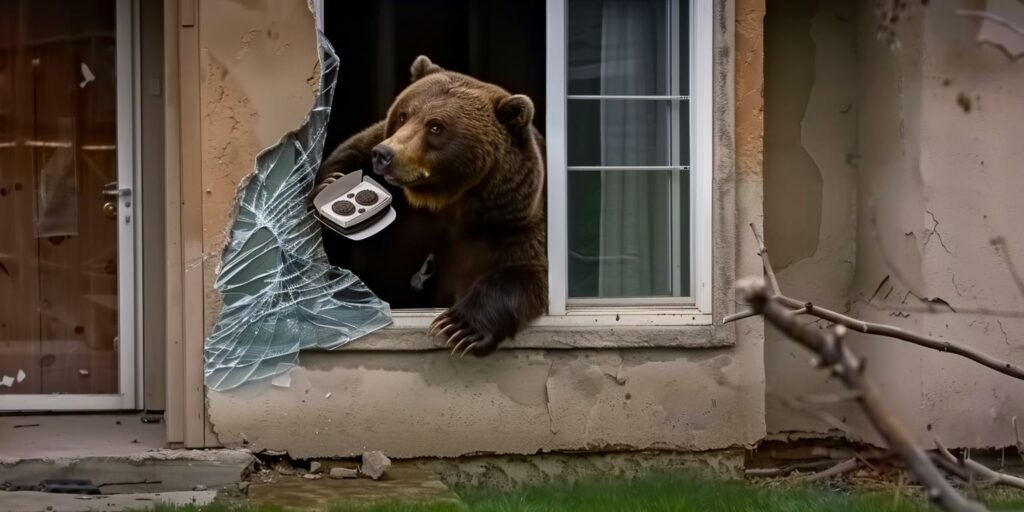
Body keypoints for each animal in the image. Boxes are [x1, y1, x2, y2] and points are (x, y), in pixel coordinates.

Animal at [315, 55, 548, 357]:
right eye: (403, 115)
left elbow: (524, 273)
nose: (384, 154)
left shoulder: (507, 223)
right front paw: (330, 186)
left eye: (436, 126)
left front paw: (458, 327)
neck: (446, 201)